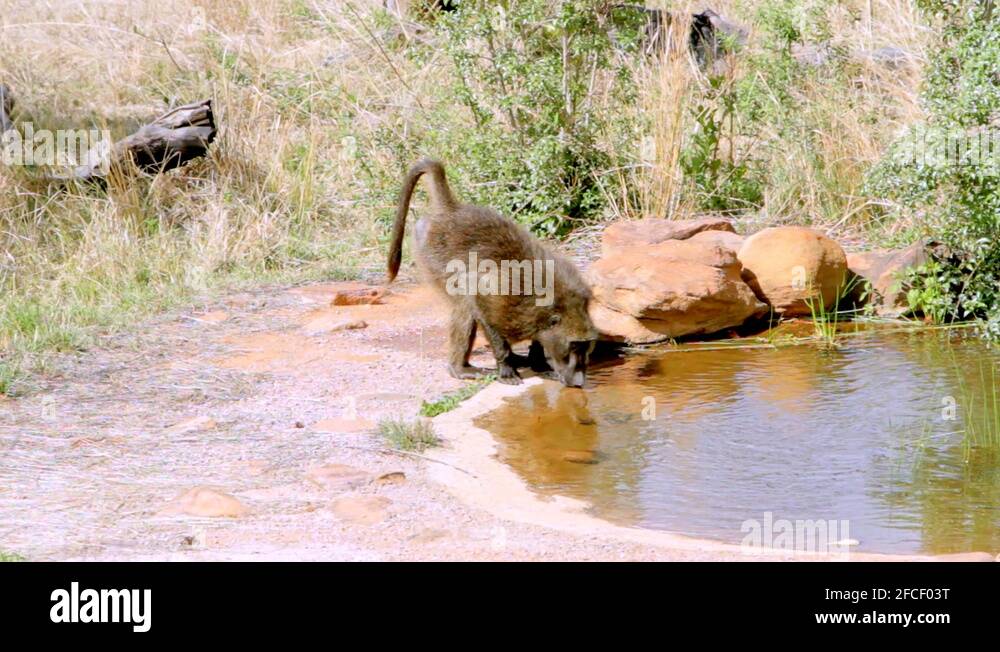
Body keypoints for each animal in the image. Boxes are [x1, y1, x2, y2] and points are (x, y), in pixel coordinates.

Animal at [387, 159, 597, 387]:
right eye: (574, 346)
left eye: (586, 346)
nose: (579, 382)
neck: (557, 301)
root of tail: (450, 210)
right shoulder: (498, 297)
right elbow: (481, 310)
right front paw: (506, 370)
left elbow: (539, 338)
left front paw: (539, 365)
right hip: (432, 256)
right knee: (464, 306)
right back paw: (459, 369)